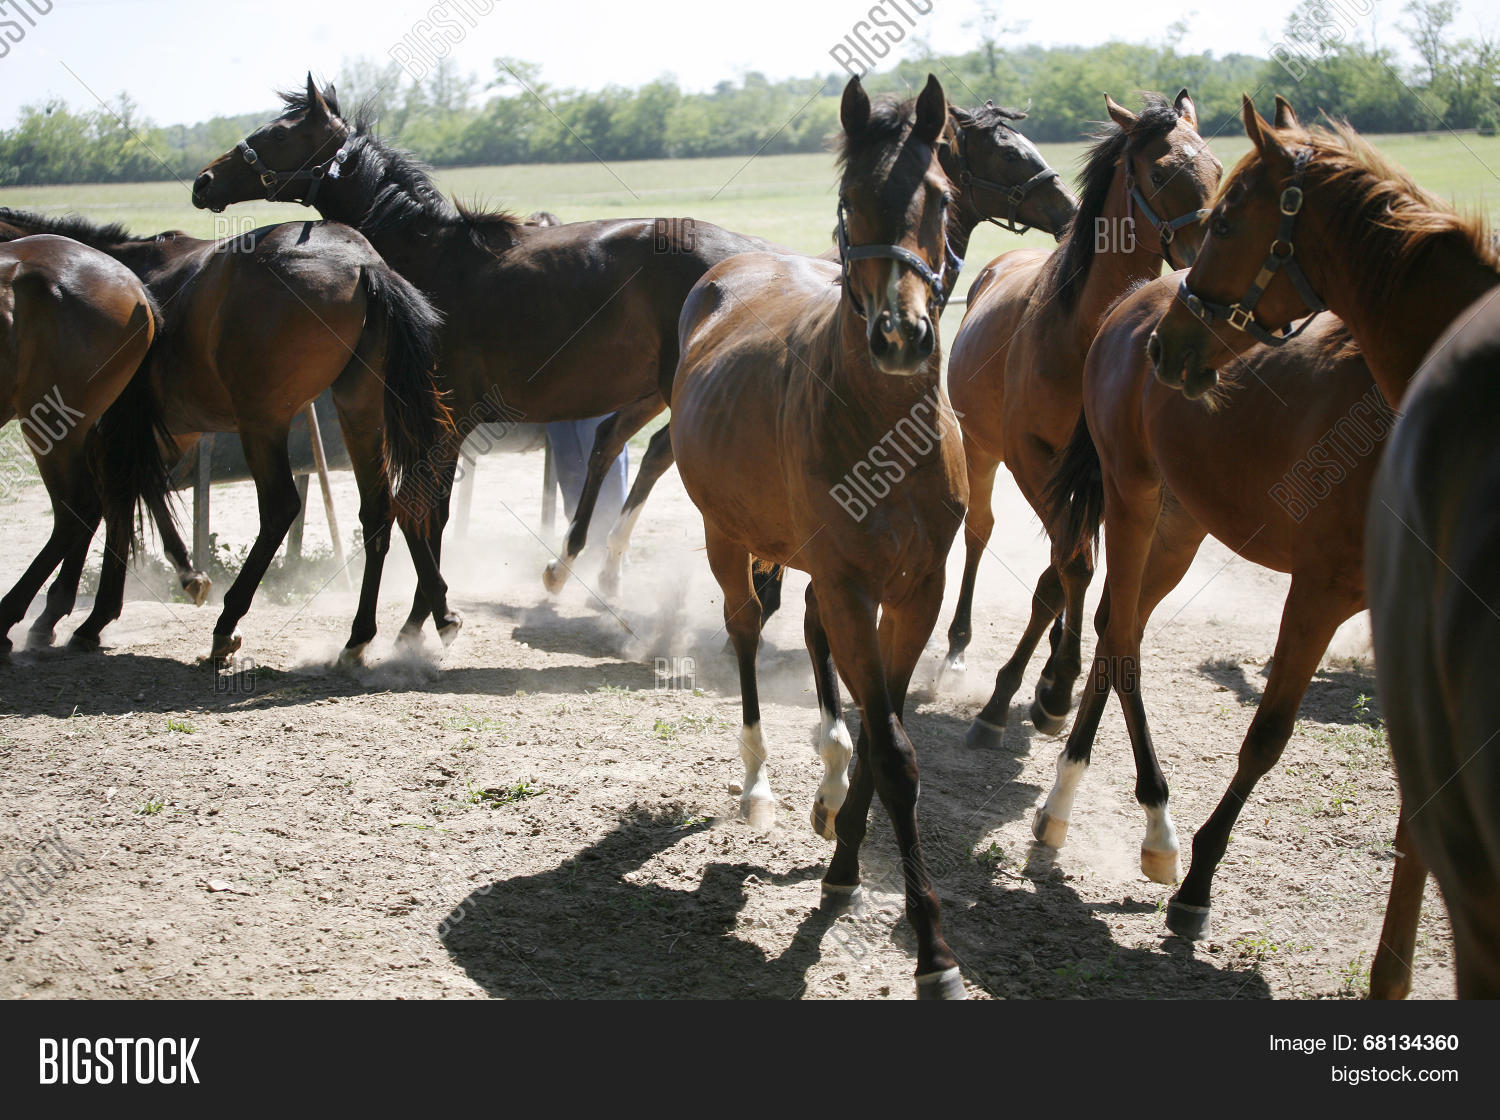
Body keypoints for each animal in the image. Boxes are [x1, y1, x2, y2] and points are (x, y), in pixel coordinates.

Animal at [671, 75, 968, 999]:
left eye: (940, 199)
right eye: (850, 201)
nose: (900, 337)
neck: (884, 427)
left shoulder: (916, 589)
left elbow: (882, 734)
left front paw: (842, 862)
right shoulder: (848, 580)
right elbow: (895, 752)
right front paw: (934, 952)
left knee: (805, 634)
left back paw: (827, 787)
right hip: (725, 536)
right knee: (745, 629)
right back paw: (760, 785)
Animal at [944, 90, 1220, 750]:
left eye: (1220, 169)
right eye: (1161, 173)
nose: (1205, 268)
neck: (1083, 333)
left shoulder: (1105, 479)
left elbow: (1065, 578)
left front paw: (1044, 682)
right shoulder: (1030, 458)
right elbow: (1071, 567)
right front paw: (1048, 686)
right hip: (984, 451)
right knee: (980, 531)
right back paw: (966, 651)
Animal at [1042, 272, 1390, 917]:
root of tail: (1141, 292)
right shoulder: (1321, 591)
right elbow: (1267, 735)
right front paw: (1199, 882)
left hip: (1180, 521)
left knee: (1117, 628)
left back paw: (1064, 802)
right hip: (1134, 498)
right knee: (1121, 637)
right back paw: (1152, 827)